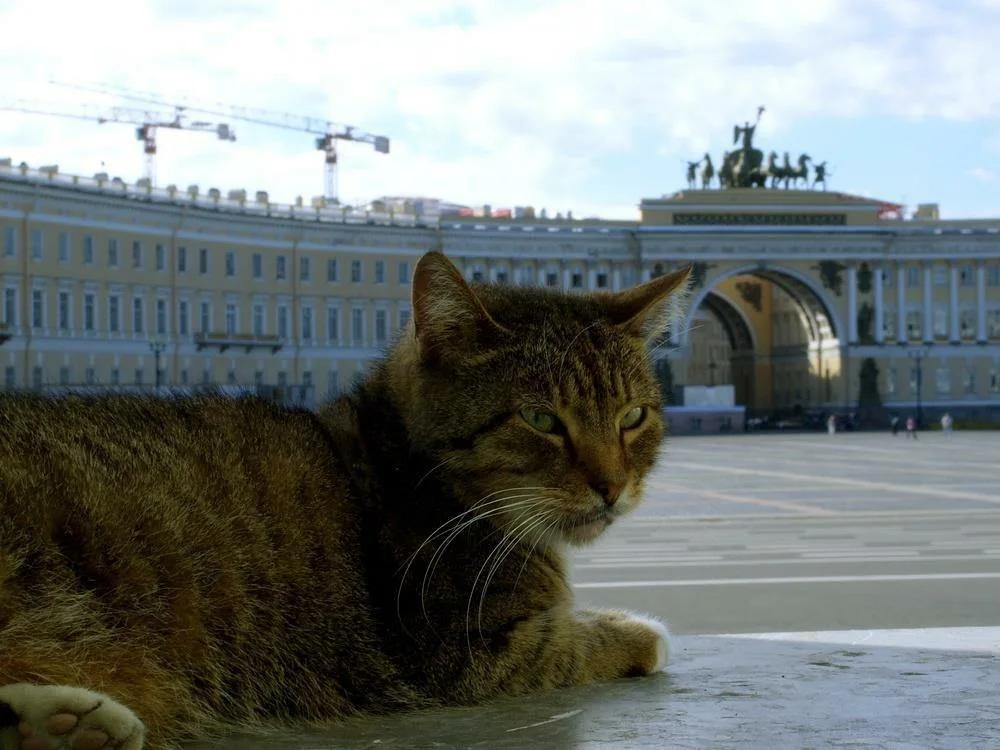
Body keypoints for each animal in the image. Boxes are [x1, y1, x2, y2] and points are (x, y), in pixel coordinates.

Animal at [0, 253, 688, 750]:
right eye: (542, 419)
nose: (612, 487)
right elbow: (575, 640)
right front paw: (641, 631)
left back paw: (56, 726)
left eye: (633, 416)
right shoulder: (461, 651)